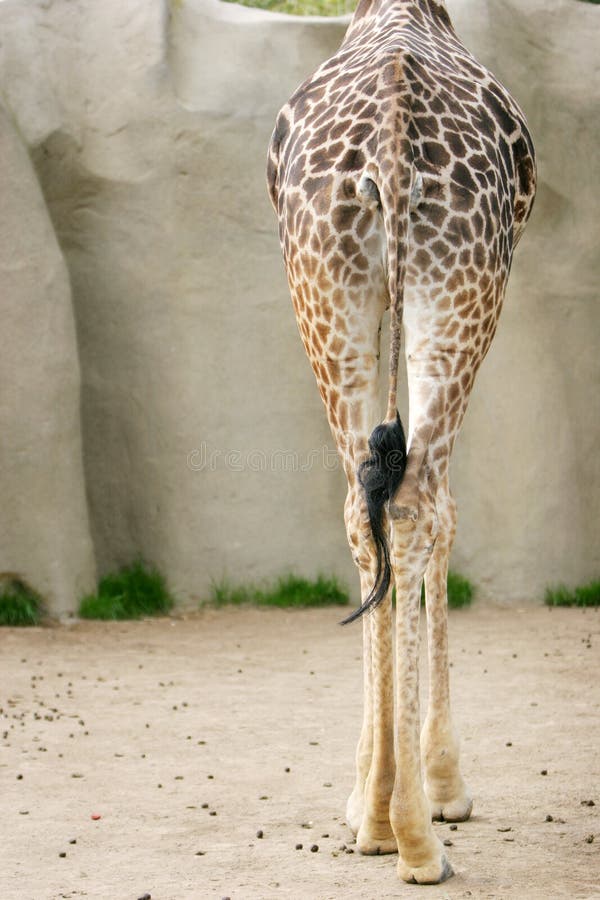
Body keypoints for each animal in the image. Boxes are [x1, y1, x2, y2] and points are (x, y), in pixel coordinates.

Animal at [267, 0, 535, 885]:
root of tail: (388, 146)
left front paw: (363, 802)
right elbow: (446, 517)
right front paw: (448, 785)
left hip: (326, 290)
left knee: (365, 506)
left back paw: (381, 818)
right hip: (464, 289)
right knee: (418, 505)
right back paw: (419, 838)